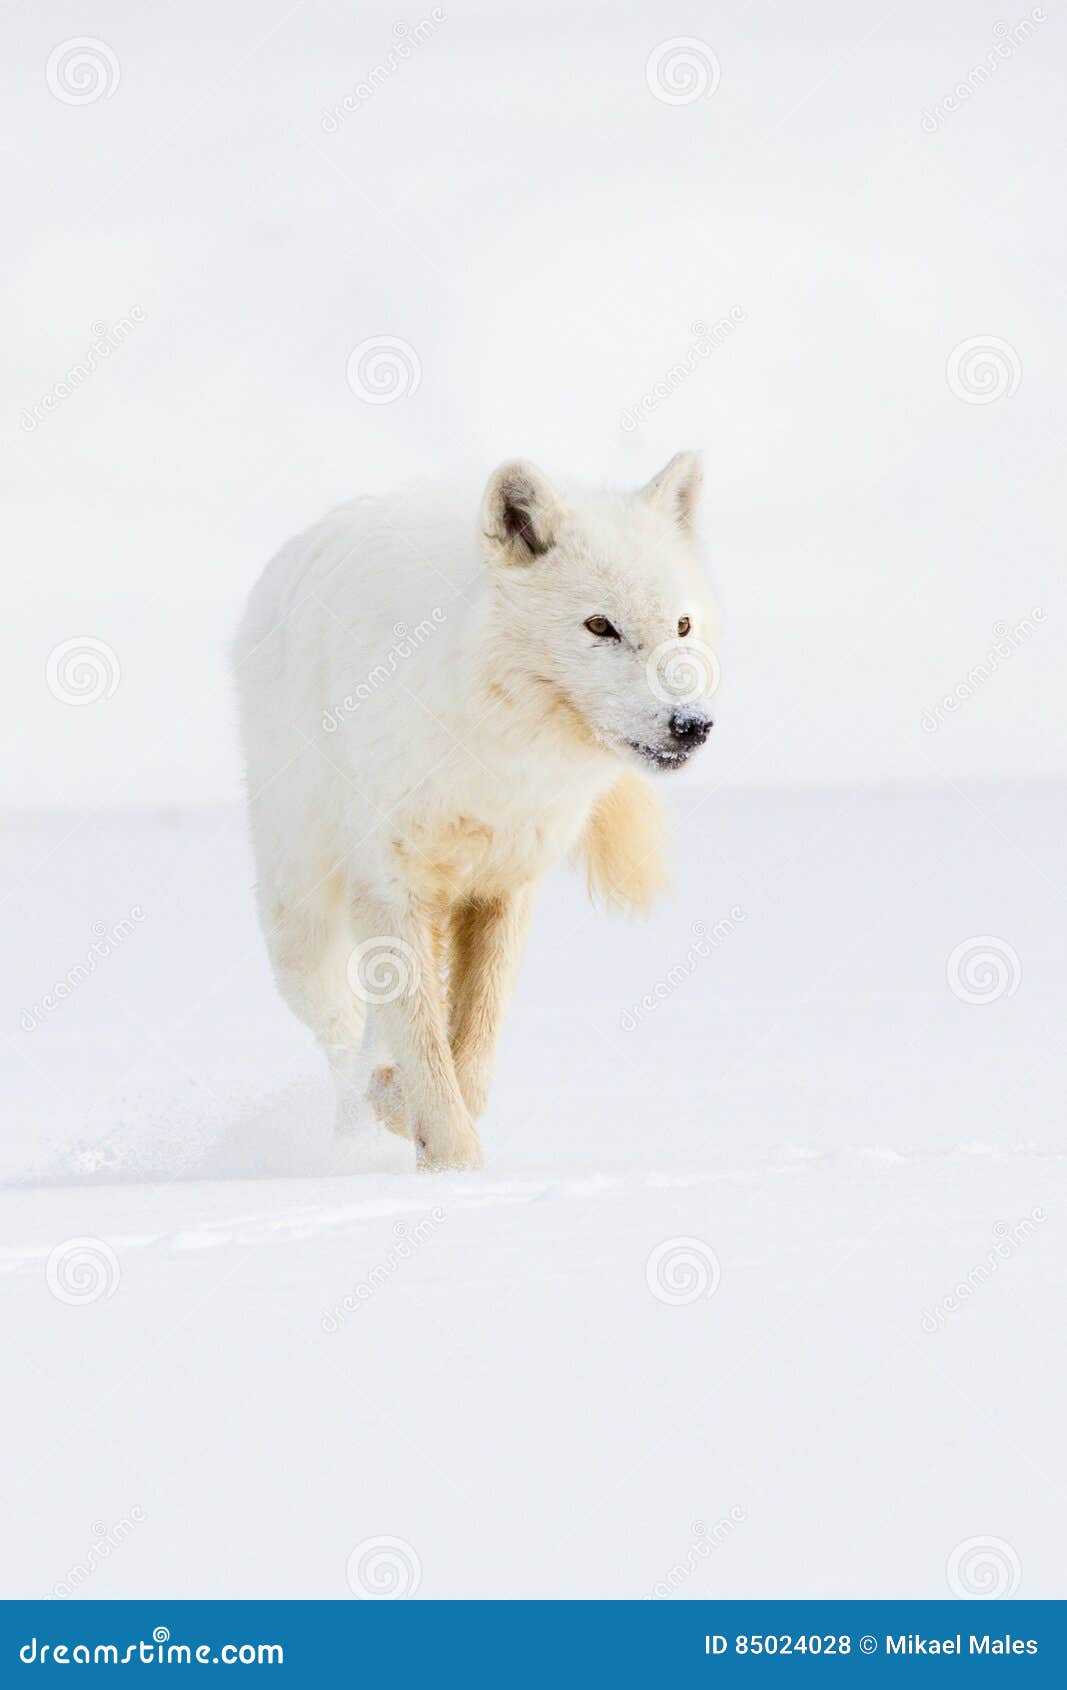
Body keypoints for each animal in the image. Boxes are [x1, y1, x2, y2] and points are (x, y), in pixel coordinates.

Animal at [232, 452, 720, 1169]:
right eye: (600, 627)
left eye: (682, 627)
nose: (691, 725)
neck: (491, 750)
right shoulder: (392, 889)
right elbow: (426, 1051)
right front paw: (450, 1162)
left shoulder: (502, 889)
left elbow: (472, 1047)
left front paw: (424, 1125)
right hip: (300, 923)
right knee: (343, 1036)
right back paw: (351, 1124)